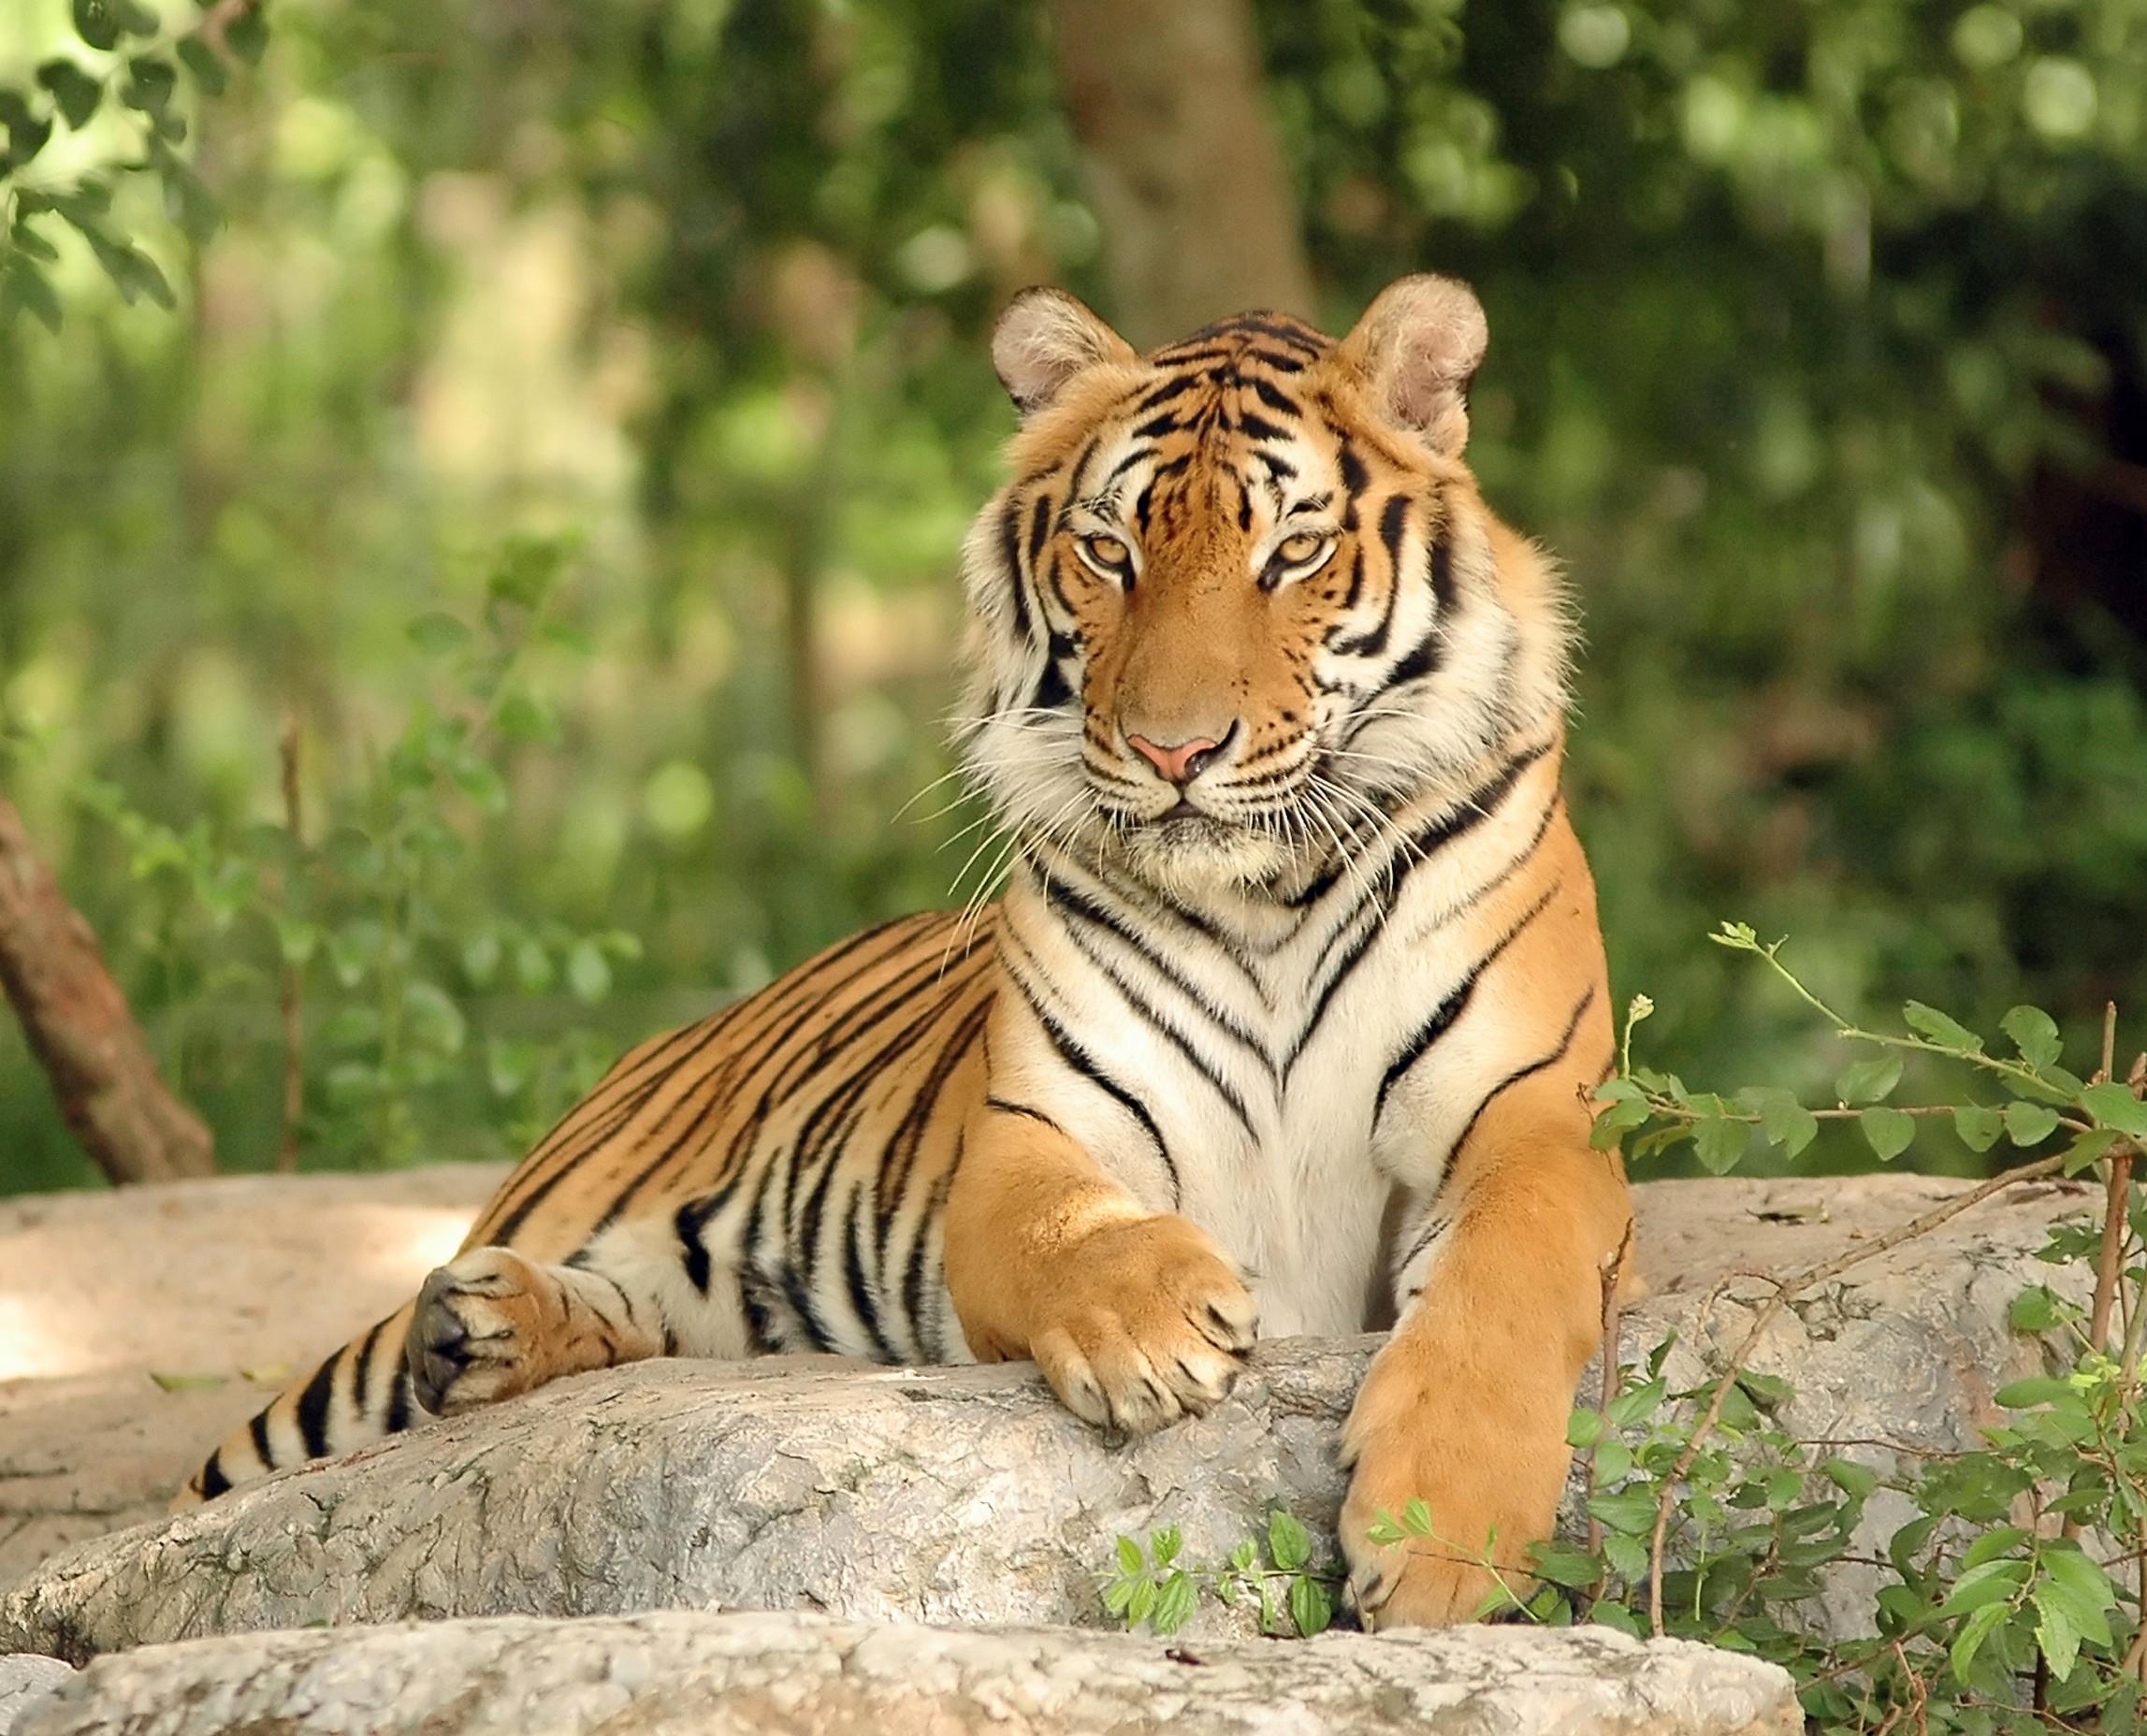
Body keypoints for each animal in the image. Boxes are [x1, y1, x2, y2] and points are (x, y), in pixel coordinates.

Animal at [184, 275, 1632, 1628]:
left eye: (1294, 549)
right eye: (1107, 551)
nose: (1172, 751)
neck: (1264, 899)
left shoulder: (1535, 1116)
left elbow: (1502, 1286)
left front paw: (1443, 1547)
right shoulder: (1035, 1133)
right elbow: (1064, 1229)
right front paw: (1154, 1325)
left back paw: (479, 1333)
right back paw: (464, 1324)